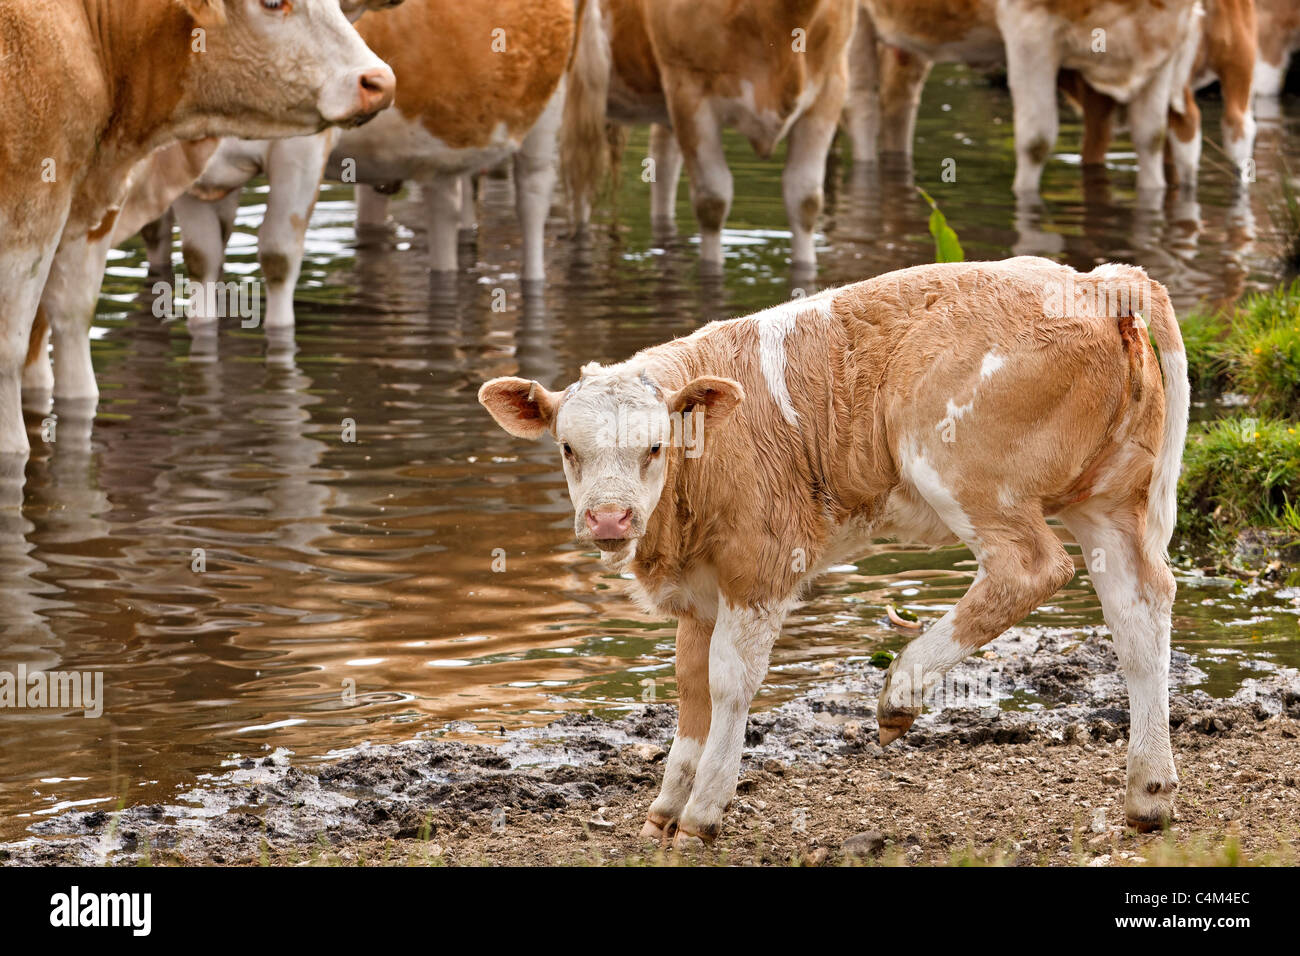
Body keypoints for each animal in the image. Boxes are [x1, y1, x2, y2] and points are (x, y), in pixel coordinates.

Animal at [158, 0, 573, 331]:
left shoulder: (302, 149)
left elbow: (278, 256)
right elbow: (201, 259)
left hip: (550, 106)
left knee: (532, 202)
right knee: (443, 208)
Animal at [479, 256, 1189, 846]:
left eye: (655, 446)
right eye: (568, 447)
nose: (609, 518)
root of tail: (1097, 282)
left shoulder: (761, 563)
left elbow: (729, 682)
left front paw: (704, 811)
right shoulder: (701, 592)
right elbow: (690, 687)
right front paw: (667, 806)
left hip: (969, 475)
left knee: (1029, 570)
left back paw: (901, 690)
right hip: (1108, 501)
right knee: (1140, 613)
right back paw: (1149, 791)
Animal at [847, 0, 1206, 193]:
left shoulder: (1164, 45)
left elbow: (1151, 138)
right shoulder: (1029, 29)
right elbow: (1036, 142)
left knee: (899, 101)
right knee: (861, 102)